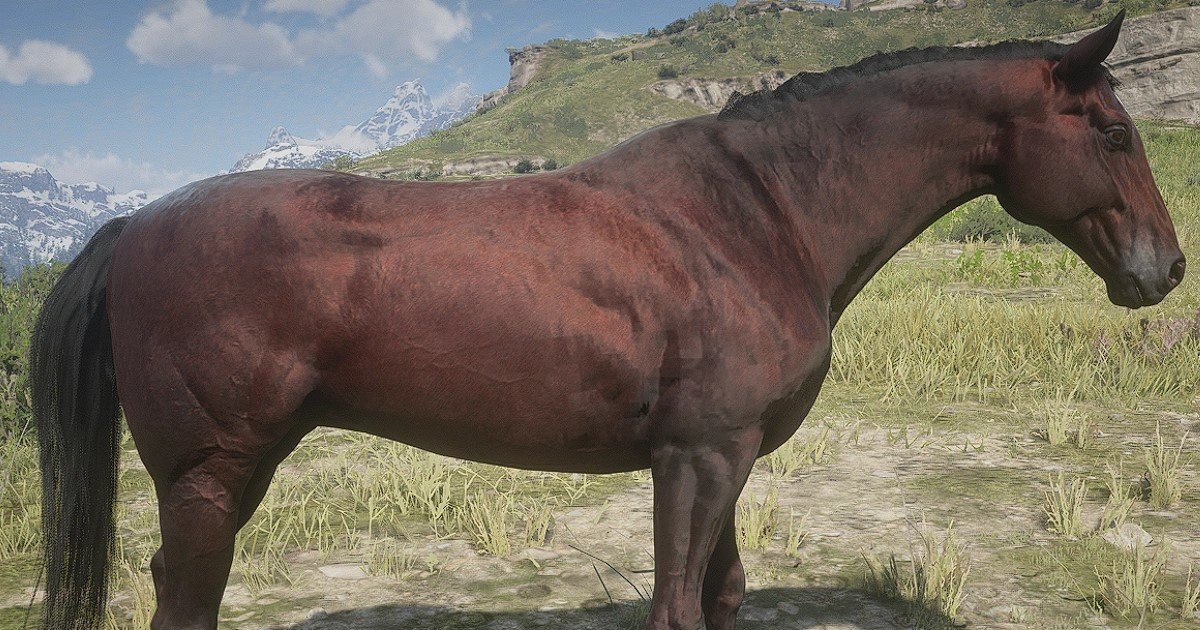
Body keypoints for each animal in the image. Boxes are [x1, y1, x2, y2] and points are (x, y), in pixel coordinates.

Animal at [30, 11, 1184, 630]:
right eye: (1114, 132)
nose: (1165, 268)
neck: (755, 215)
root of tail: (134, 226)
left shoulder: (727, 455)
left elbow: (722, 597)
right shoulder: (697, 458)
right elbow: (675, 606)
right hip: (210, 476)